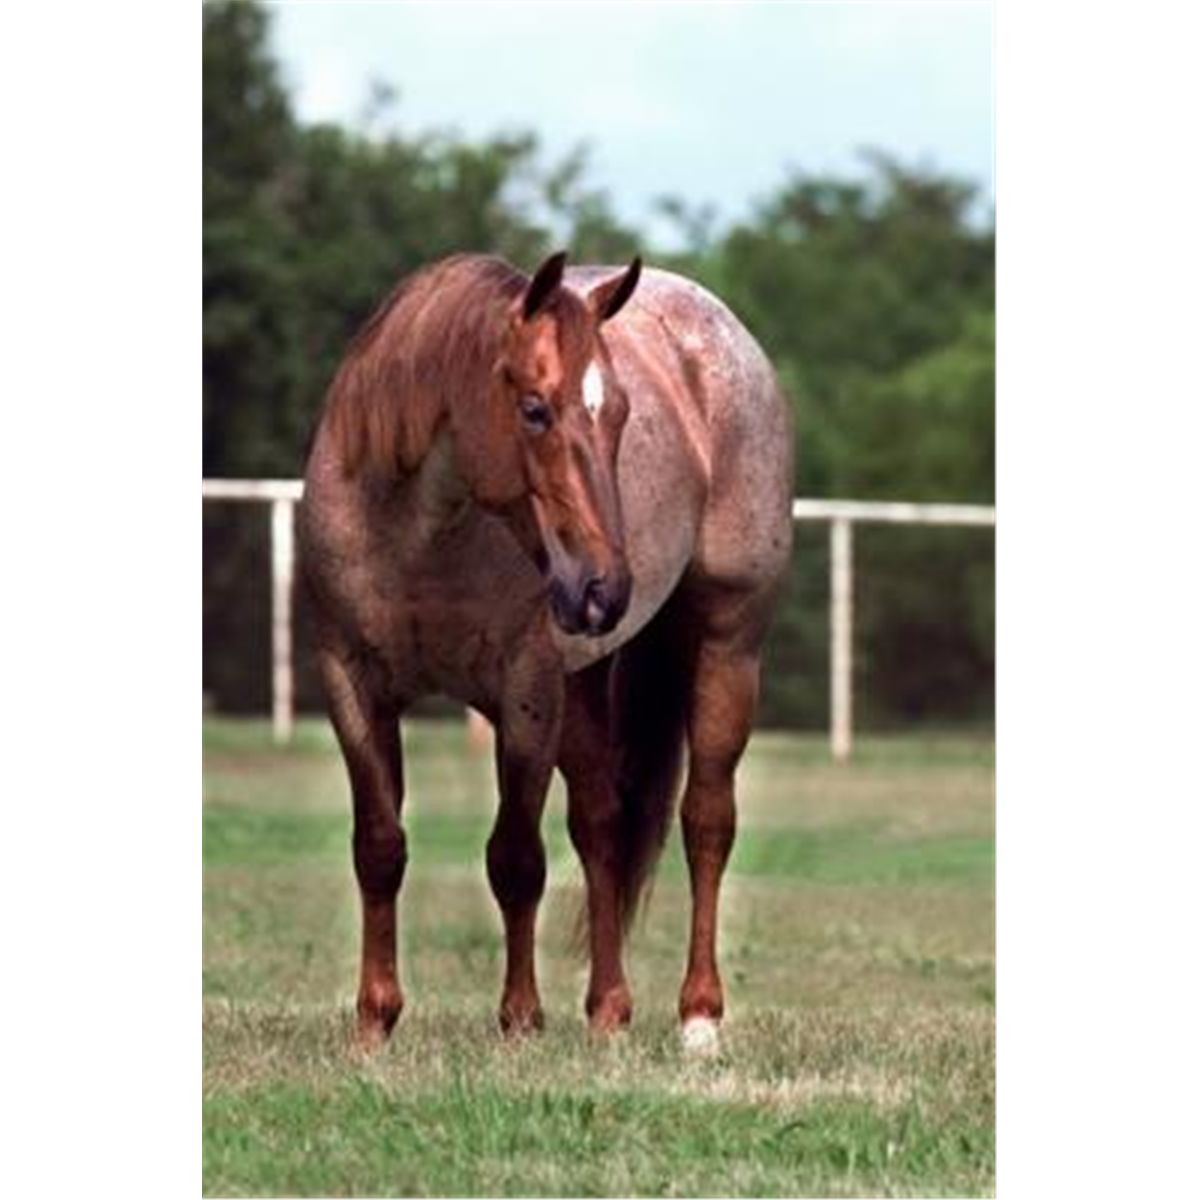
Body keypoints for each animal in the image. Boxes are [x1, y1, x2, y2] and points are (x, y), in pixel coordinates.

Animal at [298, 250, 793, 1052]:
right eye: (534, 409)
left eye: (619, 412)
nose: (604, 588)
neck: (421, 533)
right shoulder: (352, 684)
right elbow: (379, 845)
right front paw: (374, 1020)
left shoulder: (525, 694)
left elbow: (515, 858)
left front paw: (521, 1018)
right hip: (584, 688)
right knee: (602, 827)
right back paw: (608, 1011)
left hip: (727, 648)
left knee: (707, 822)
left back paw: (698, 1019)